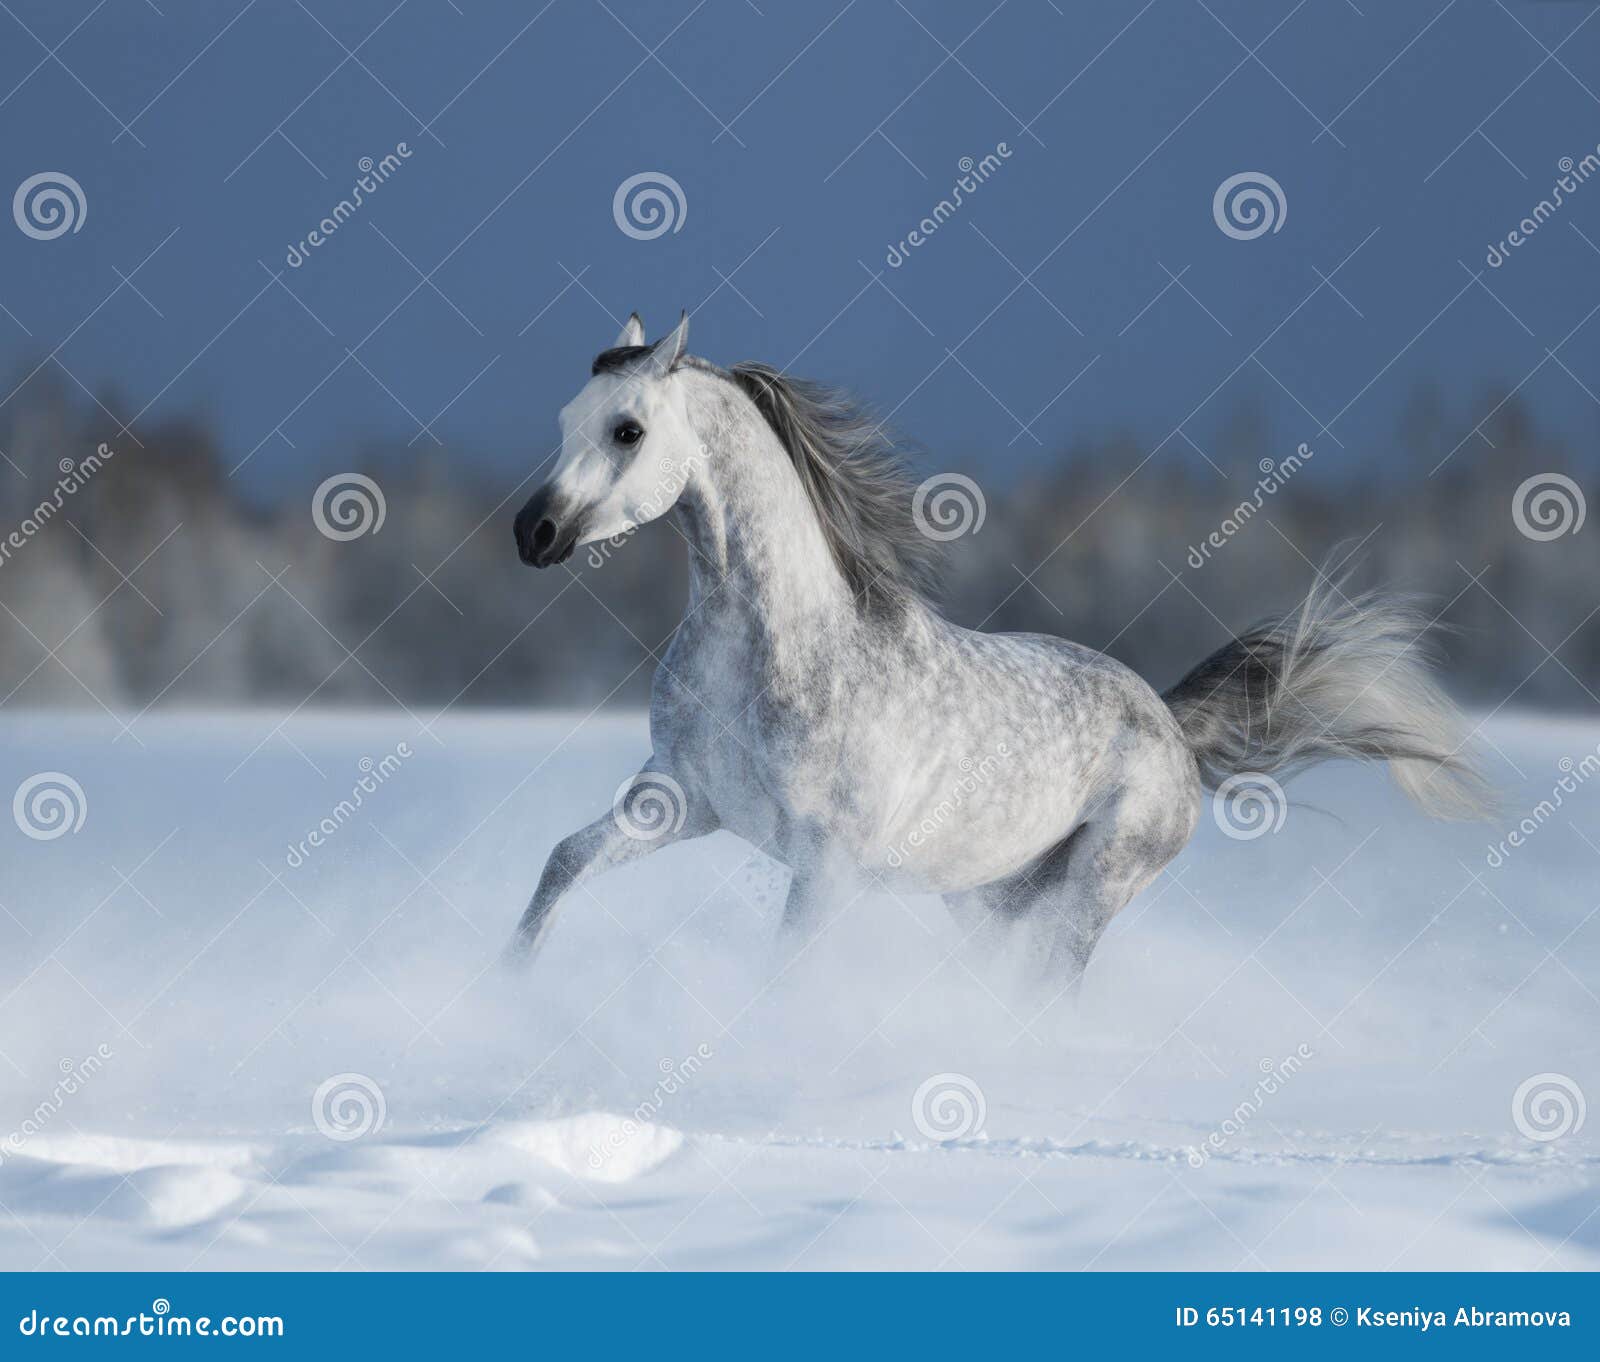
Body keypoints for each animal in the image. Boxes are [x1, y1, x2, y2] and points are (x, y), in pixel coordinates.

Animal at [504, 312, 1487, 979]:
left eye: (628, 429)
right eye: (563, 418)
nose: (533, 532)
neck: (781, 650)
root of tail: (1169, 725)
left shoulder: (827, 865)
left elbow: (784, 972)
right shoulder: (679, 799)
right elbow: (560, 865)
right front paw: (511, 988)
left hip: (1089, 893)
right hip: (984, 896)